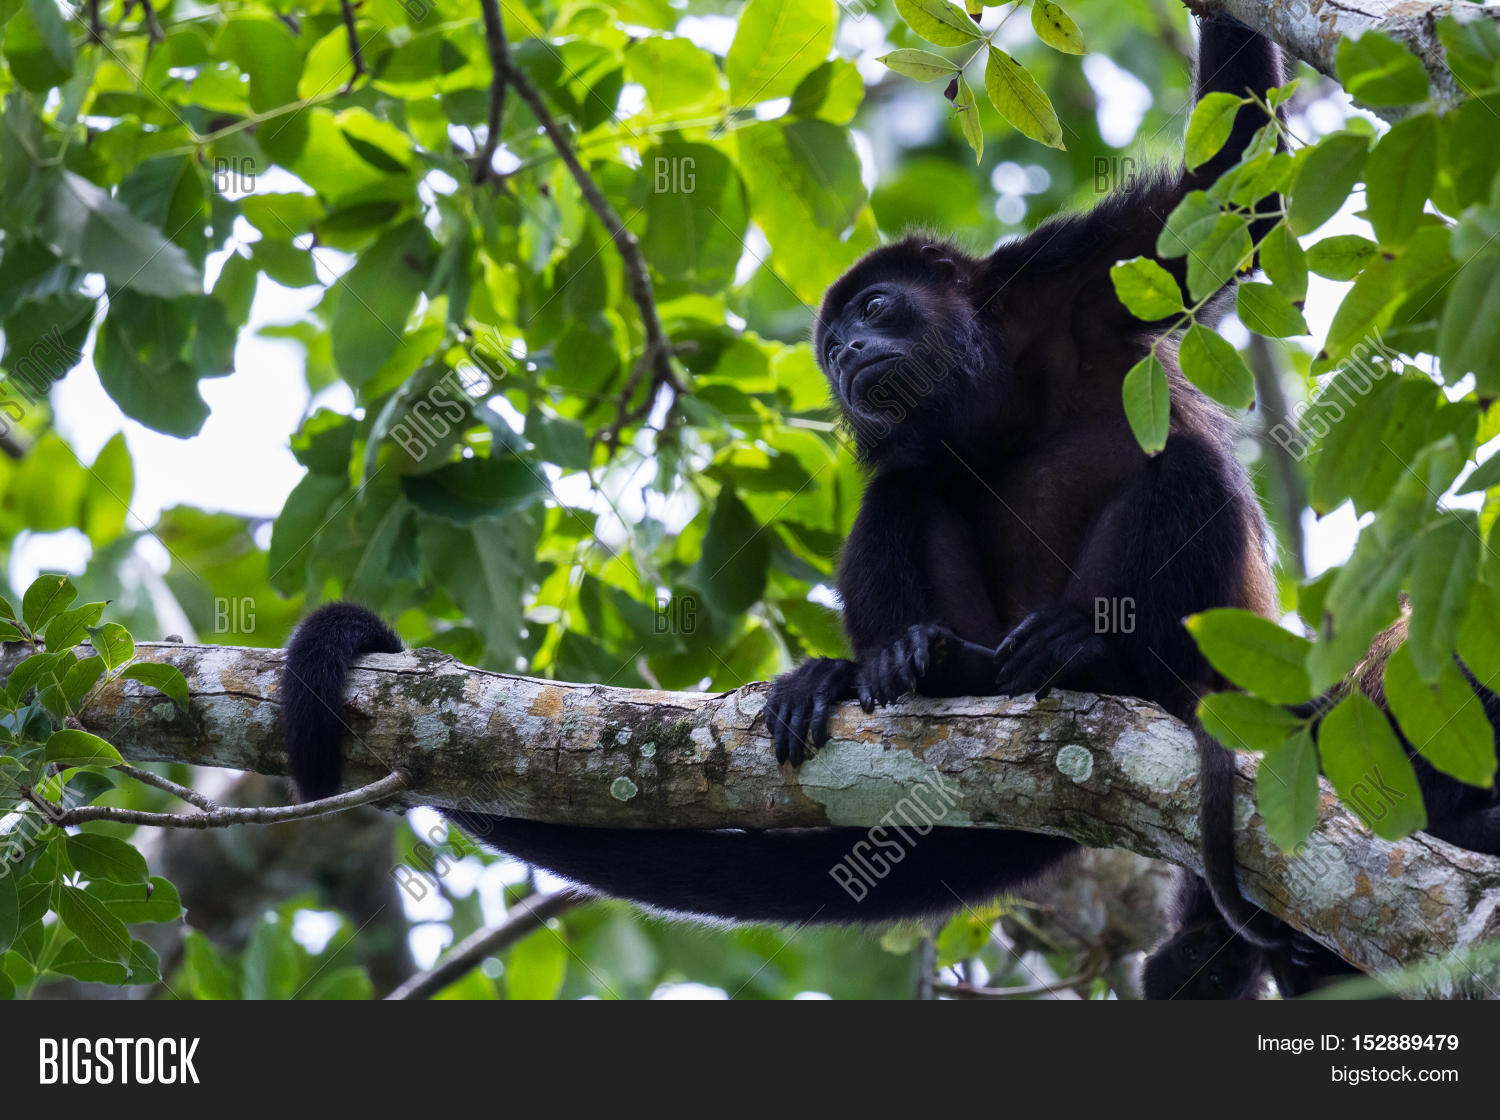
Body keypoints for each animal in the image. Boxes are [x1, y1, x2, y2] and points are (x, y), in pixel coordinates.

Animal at [279, 15, 1290, 941]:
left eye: (875, 308)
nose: (847, 353)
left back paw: (1095, 657)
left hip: (1200, 667)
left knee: (1181, 471)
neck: (1001, 390)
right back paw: (913, 667)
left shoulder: (1068, 274)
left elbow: (1230, 187)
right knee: (905, 496)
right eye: (834, 341)